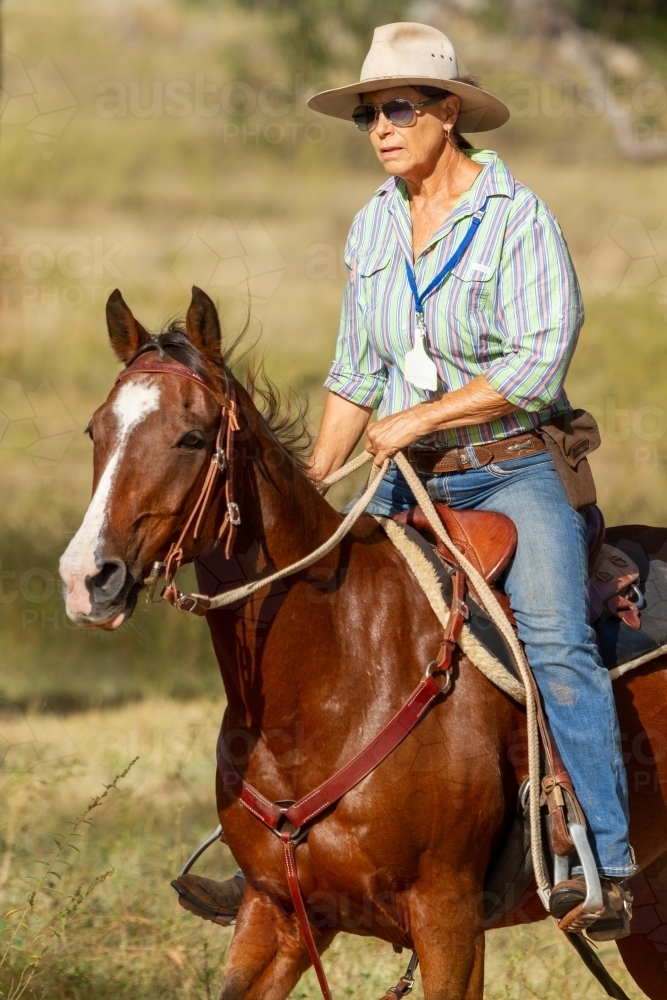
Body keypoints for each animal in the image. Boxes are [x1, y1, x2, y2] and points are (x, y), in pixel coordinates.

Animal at [59, 286, 667, 1000]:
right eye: (96, 431)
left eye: (191, 437)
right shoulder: (277, 911)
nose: (87, 579)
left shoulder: (449, 918)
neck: (328, 681)